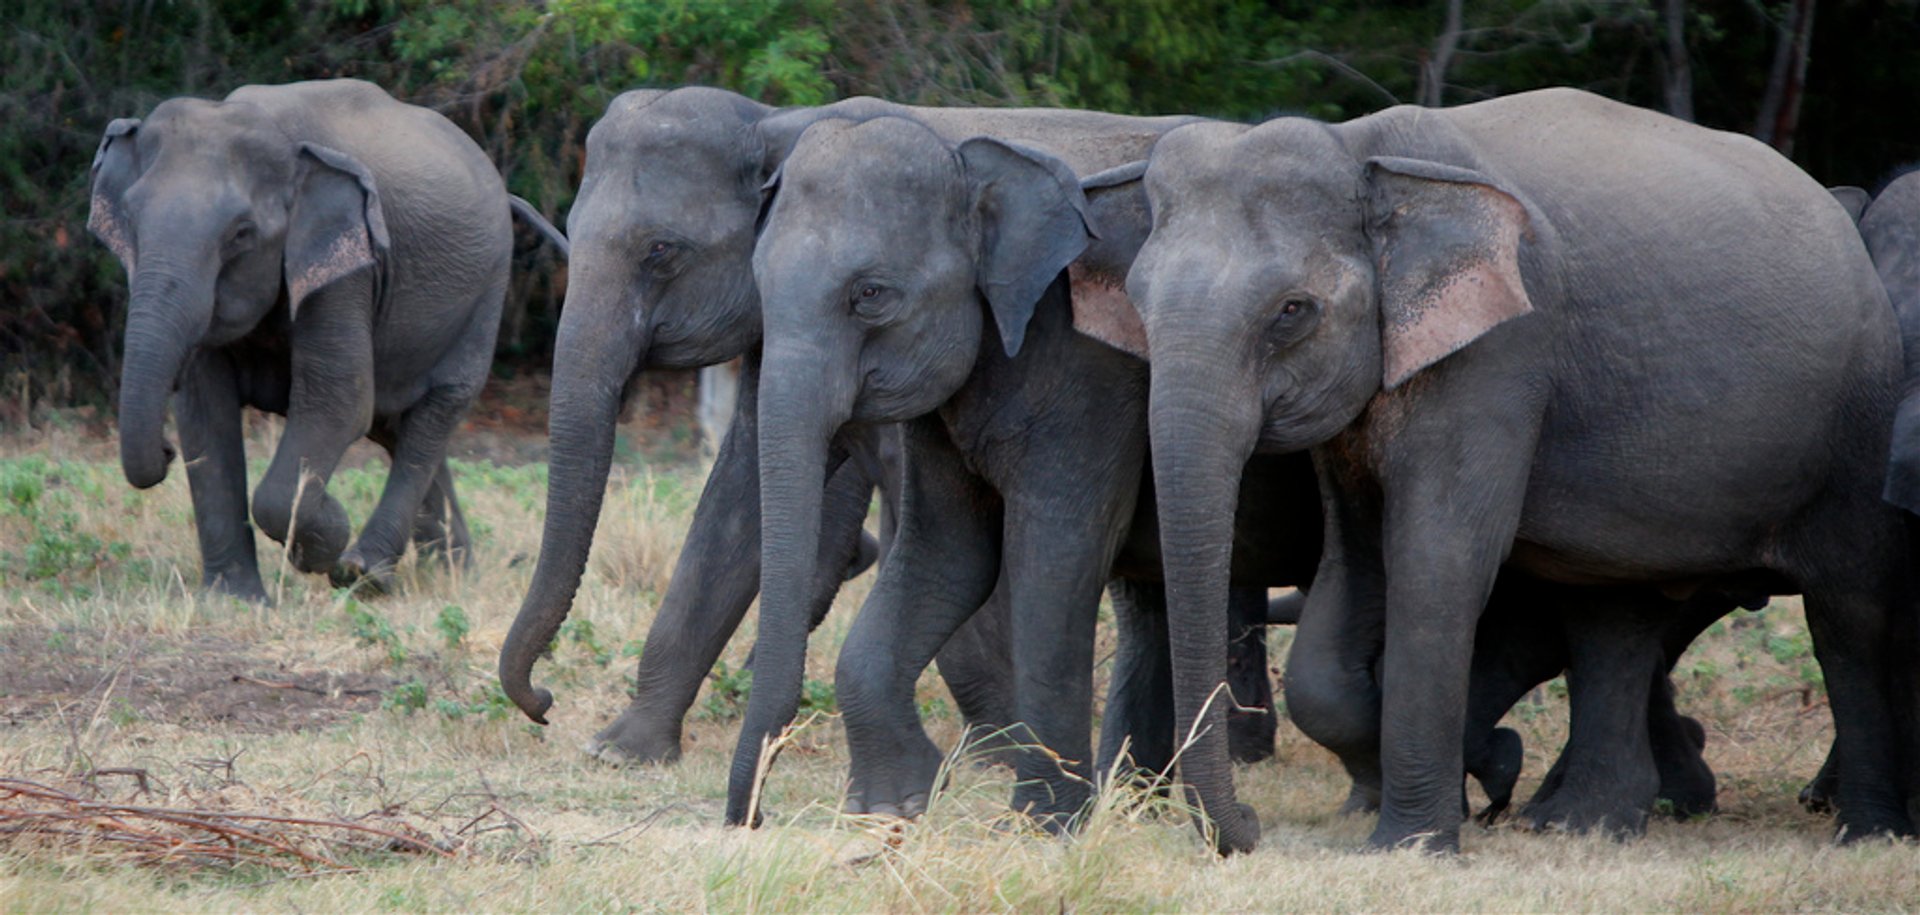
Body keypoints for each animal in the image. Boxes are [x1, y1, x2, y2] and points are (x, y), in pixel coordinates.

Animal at [87, 79, 567, 599]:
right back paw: (448, 571)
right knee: (395, 423)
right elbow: (204, 408)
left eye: (241, 234)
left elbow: (336, 402)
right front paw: (235, 600)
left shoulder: (350, 272)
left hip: (486, 292)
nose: (165, 452)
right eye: (129, 219)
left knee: (436, 410)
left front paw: (325, 535)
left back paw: (363, 572)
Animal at [1110, 86, 1915, 854]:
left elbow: (1441, 554)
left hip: (1858, 418)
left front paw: (1417, 839)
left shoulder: (1502, 349)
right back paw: (1583, 821)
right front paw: (1480, 770)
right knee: (1615, 614)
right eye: (1135, 303)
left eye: (1292, 310)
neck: (1362, 150)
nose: (1248, 824)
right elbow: (1353, 564)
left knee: (1845, 612)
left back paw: (1862, 831)